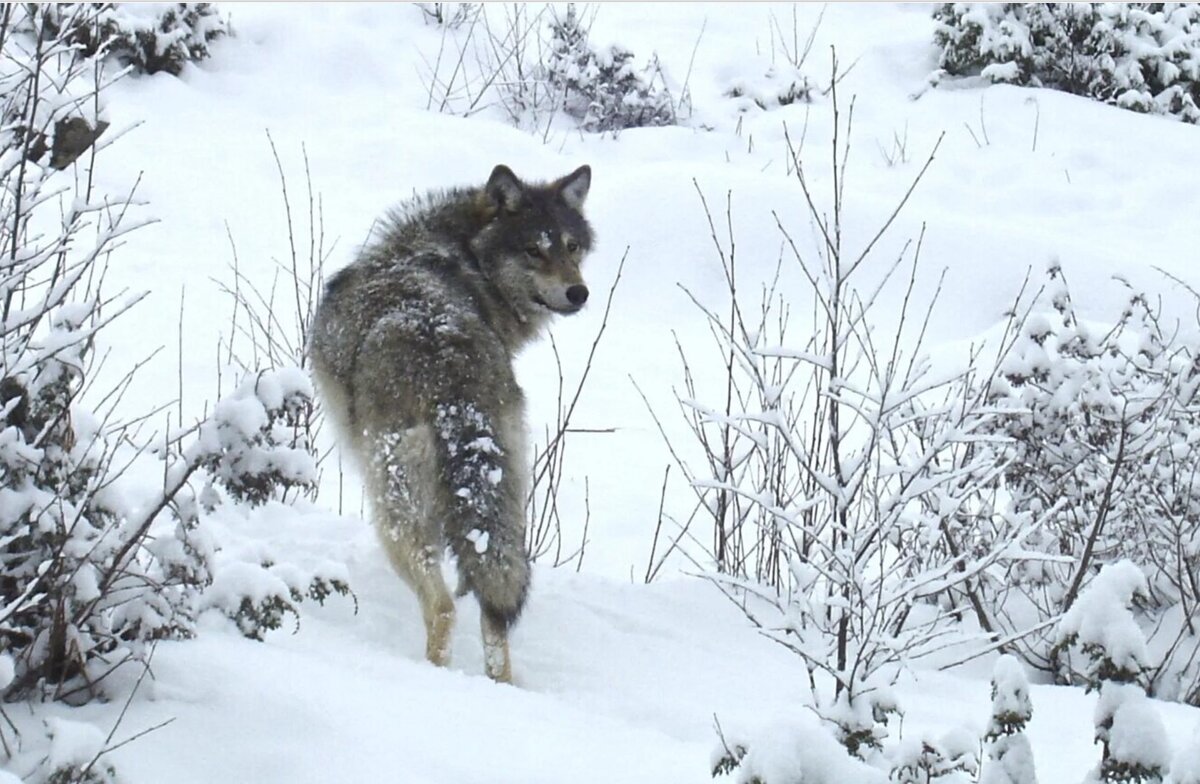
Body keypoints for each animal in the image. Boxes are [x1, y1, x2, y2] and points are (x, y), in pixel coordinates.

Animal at [307, 163, 592, 677]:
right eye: (534, 249)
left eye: (571, 245)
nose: (578, 292)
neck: (456, 252)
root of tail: (452, 374)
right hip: (509, 494)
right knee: (494, 609)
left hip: (394, 513)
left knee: (441, 607)